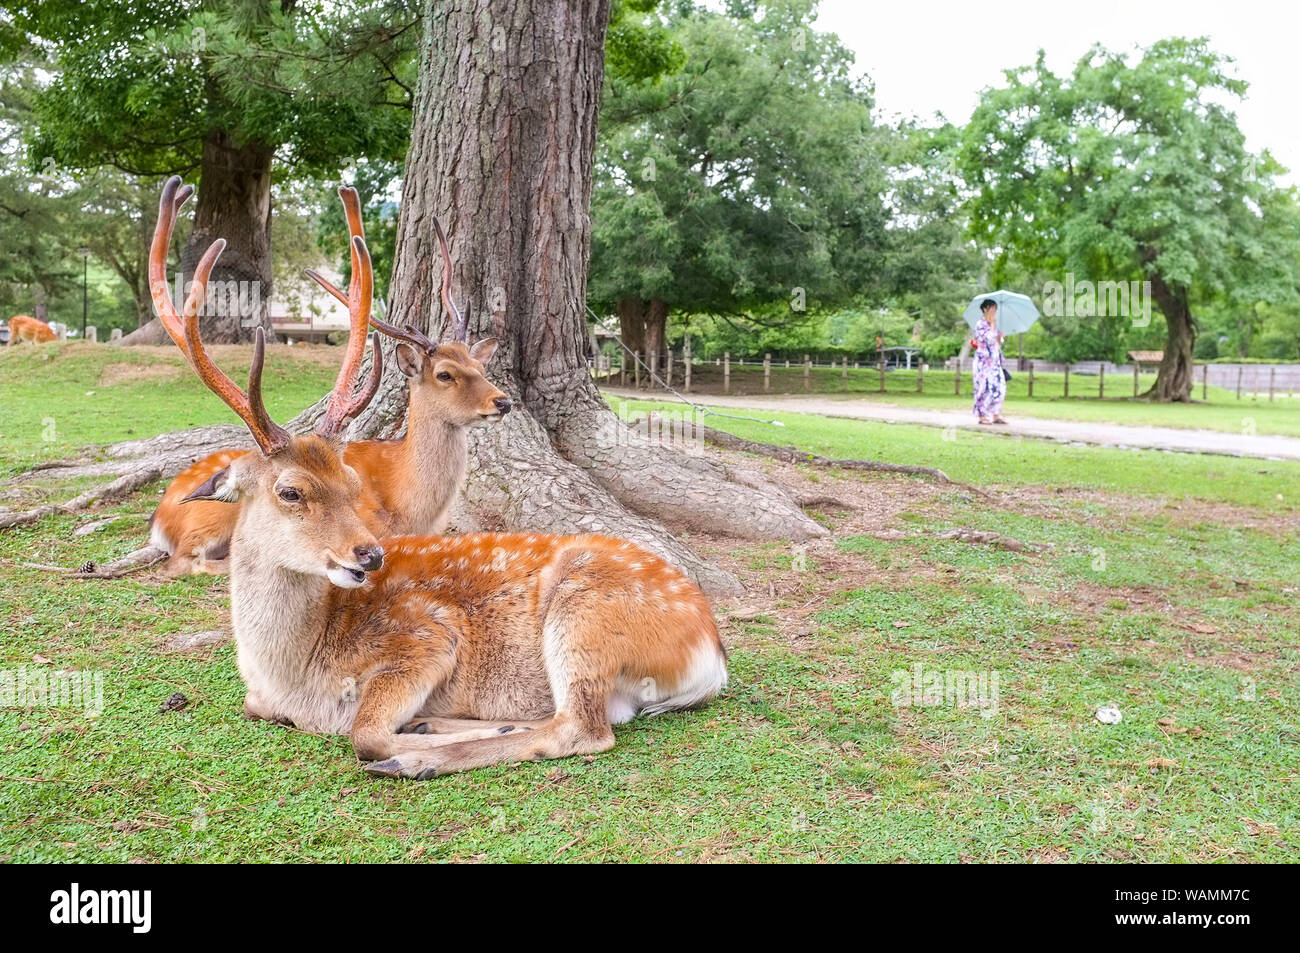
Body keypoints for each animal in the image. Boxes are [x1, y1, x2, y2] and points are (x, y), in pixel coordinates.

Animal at [147, 185, 511, 576]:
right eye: (445, 374)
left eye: (481, 368)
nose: (503, 401)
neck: (414, 509)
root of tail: (158, 516)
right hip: (209, 517)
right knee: (185, 562)